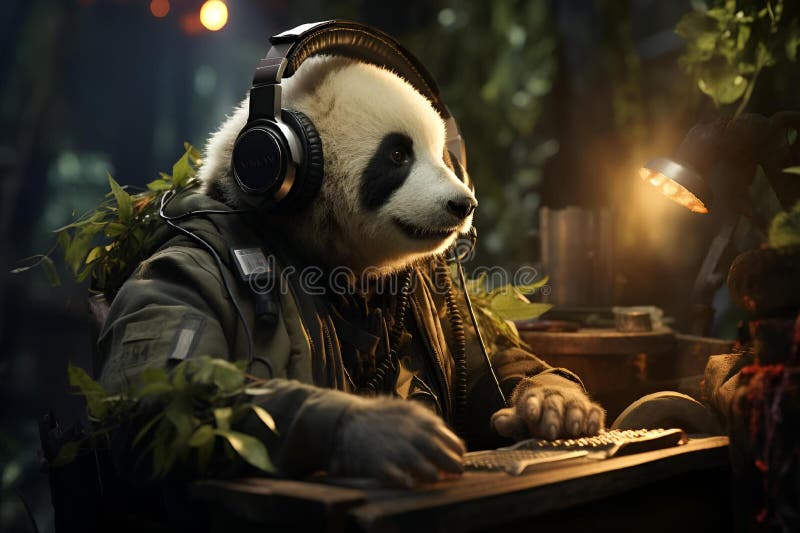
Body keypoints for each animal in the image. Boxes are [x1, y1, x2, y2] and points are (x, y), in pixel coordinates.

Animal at [189, 54, 605, 487]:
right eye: (398, 156)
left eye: (441, 155)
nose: (463, 204)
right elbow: (202, 382)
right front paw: (386, 431)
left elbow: (487, 363)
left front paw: (554, 403)